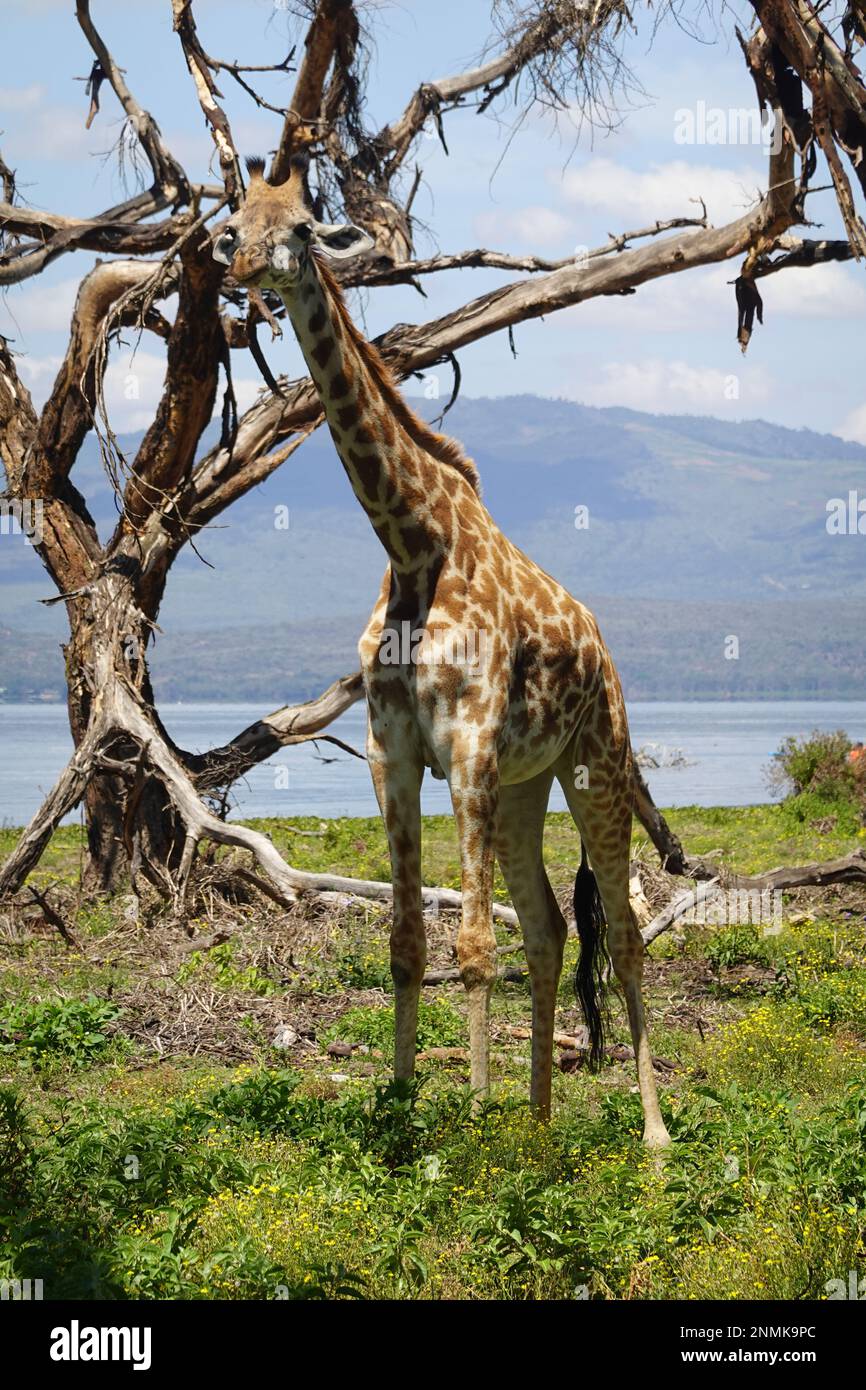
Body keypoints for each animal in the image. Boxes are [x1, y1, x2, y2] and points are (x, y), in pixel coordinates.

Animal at [214, 157, 670, 1147]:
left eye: (302, 227)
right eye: (234, 224)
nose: (244, 273)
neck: (413, 543)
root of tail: (607, 658)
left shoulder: (464, 749)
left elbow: (471, 945)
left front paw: (471, 1121)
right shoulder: (394, 753)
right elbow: (407, 941)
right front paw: (405, 1112)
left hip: (596, 764)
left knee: (620, 928)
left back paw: (651, 1138)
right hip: (526, 785)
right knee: (550, 928)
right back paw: (538, 1125)